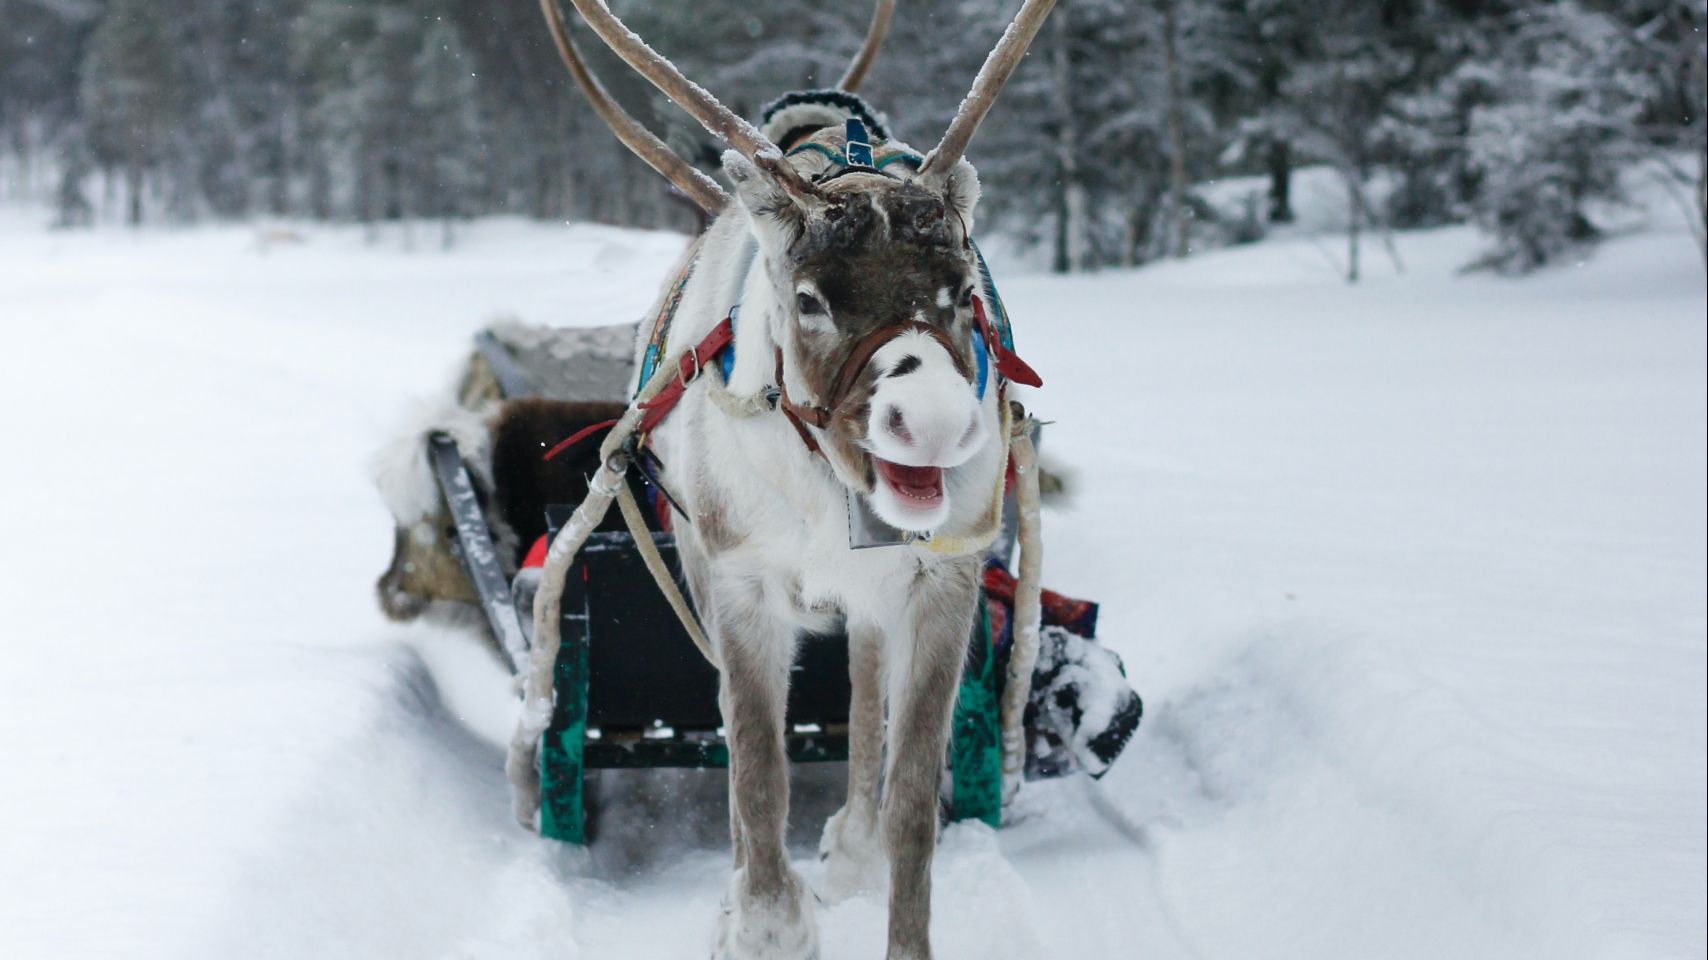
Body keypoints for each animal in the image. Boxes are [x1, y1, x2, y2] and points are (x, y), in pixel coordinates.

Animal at [526, 2, 1057, 957]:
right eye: (810, 298)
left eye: (961, 288)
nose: (932, 422)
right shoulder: (742, 579)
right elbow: (756, 769)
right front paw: (761, 919)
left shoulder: (945, 579)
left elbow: (911, 801)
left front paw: (878, 879)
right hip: (696, 557)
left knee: (865, 680)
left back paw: (850, 849)